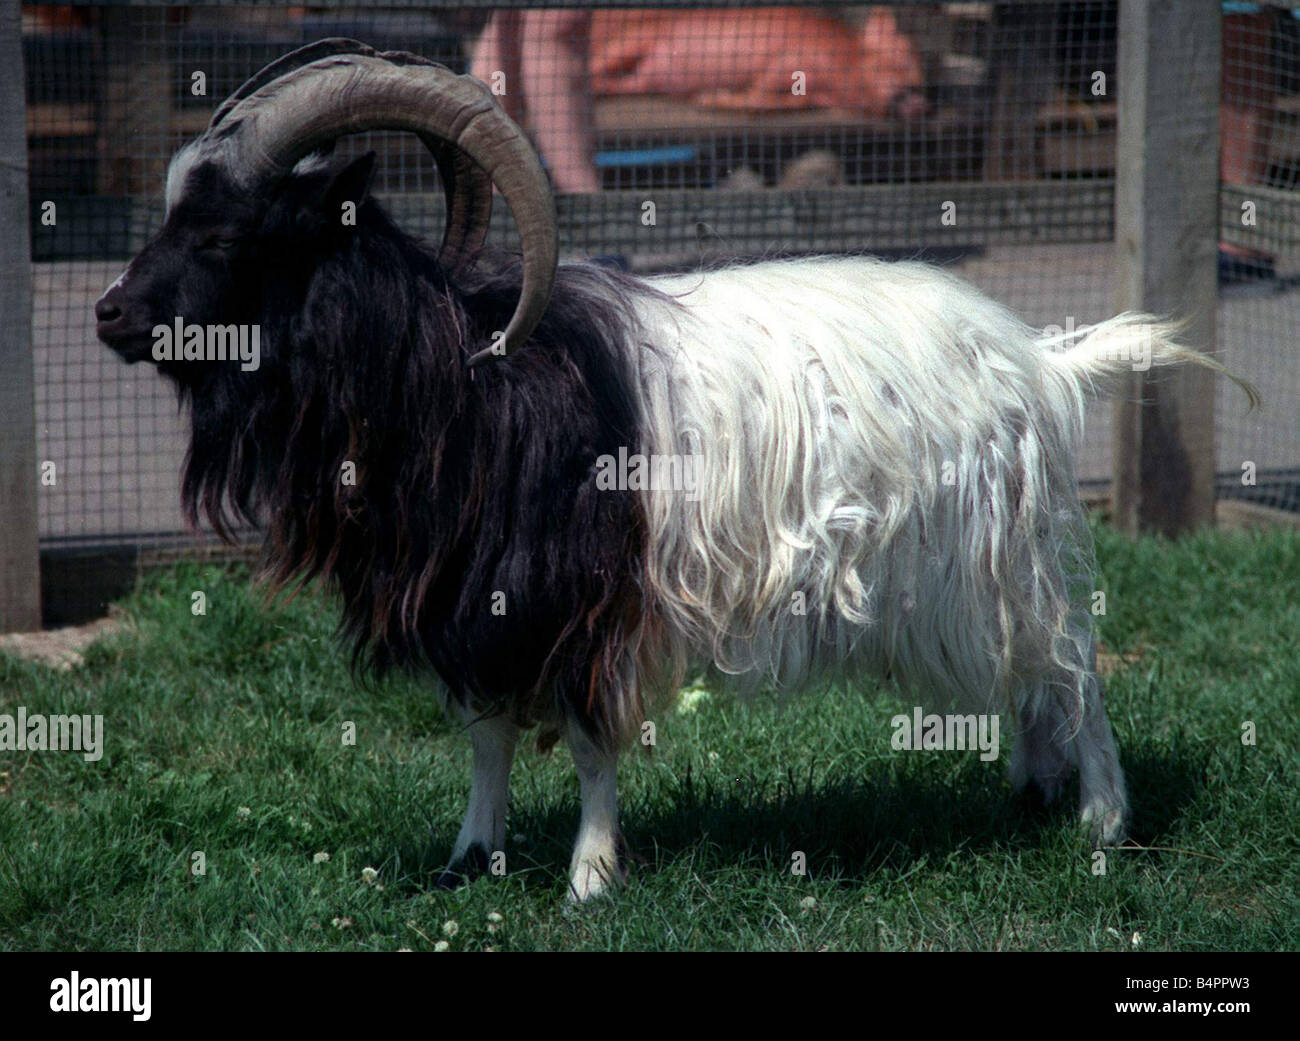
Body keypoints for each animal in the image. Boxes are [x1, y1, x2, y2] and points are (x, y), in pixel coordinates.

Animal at [95, 40, 1251, 900]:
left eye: (225, 233)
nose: (108, 314)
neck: (465, 375)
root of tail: (1042, 359)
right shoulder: (479, 601)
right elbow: (486, 737)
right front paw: (471, 858)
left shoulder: (588, 598)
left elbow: (591, 741)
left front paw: (589, 878)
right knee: (1030, 680)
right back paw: (1033, 792)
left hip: (998, 553)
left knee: (1073, 666)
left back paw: (1102, 824)